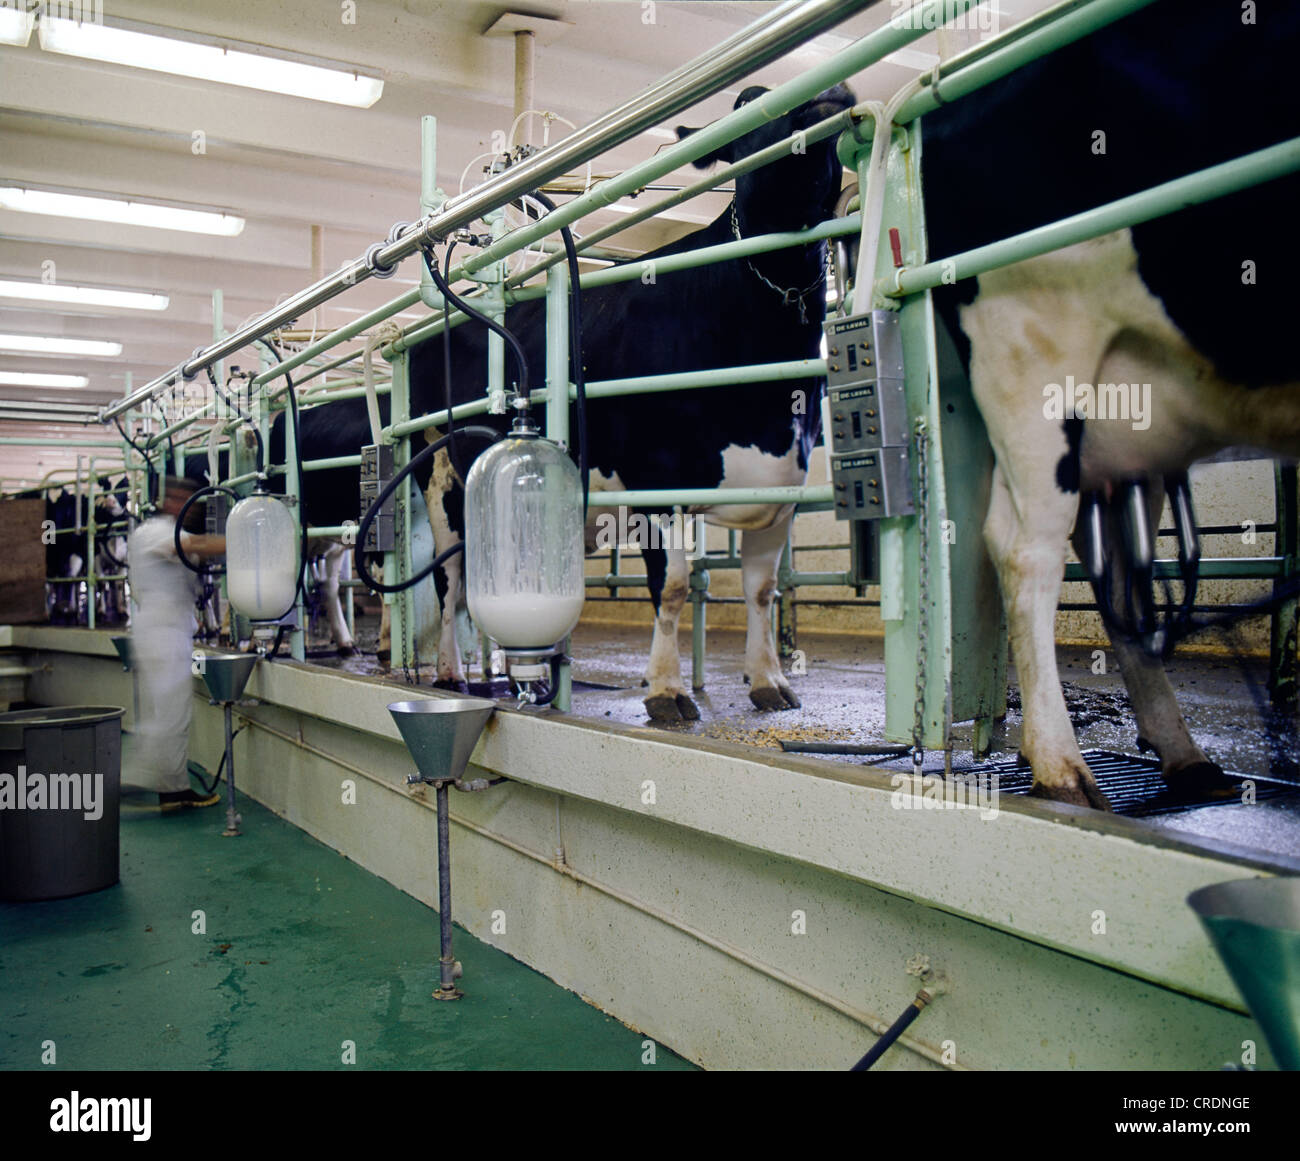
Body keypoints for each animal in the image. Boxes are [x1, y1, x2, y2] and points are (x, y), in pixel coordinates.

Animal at [408, 81, 852, 722]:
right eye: (747, 108)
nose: (823, 96)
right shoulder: (658, 480)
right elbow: (670, 586)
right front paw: (666, 690)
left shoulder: (782, 485)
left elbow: (762, 590)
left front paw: (768, 680)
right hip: (441, 482)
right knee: (452, 583)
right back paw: (450, 673)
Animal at [920, 0, 1294, 806]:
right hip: (1036, 366)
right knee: (1025, 548)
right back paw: (1060, 765)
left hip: (1132, 426)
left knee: (1121, 577)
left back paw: (1182, 756)